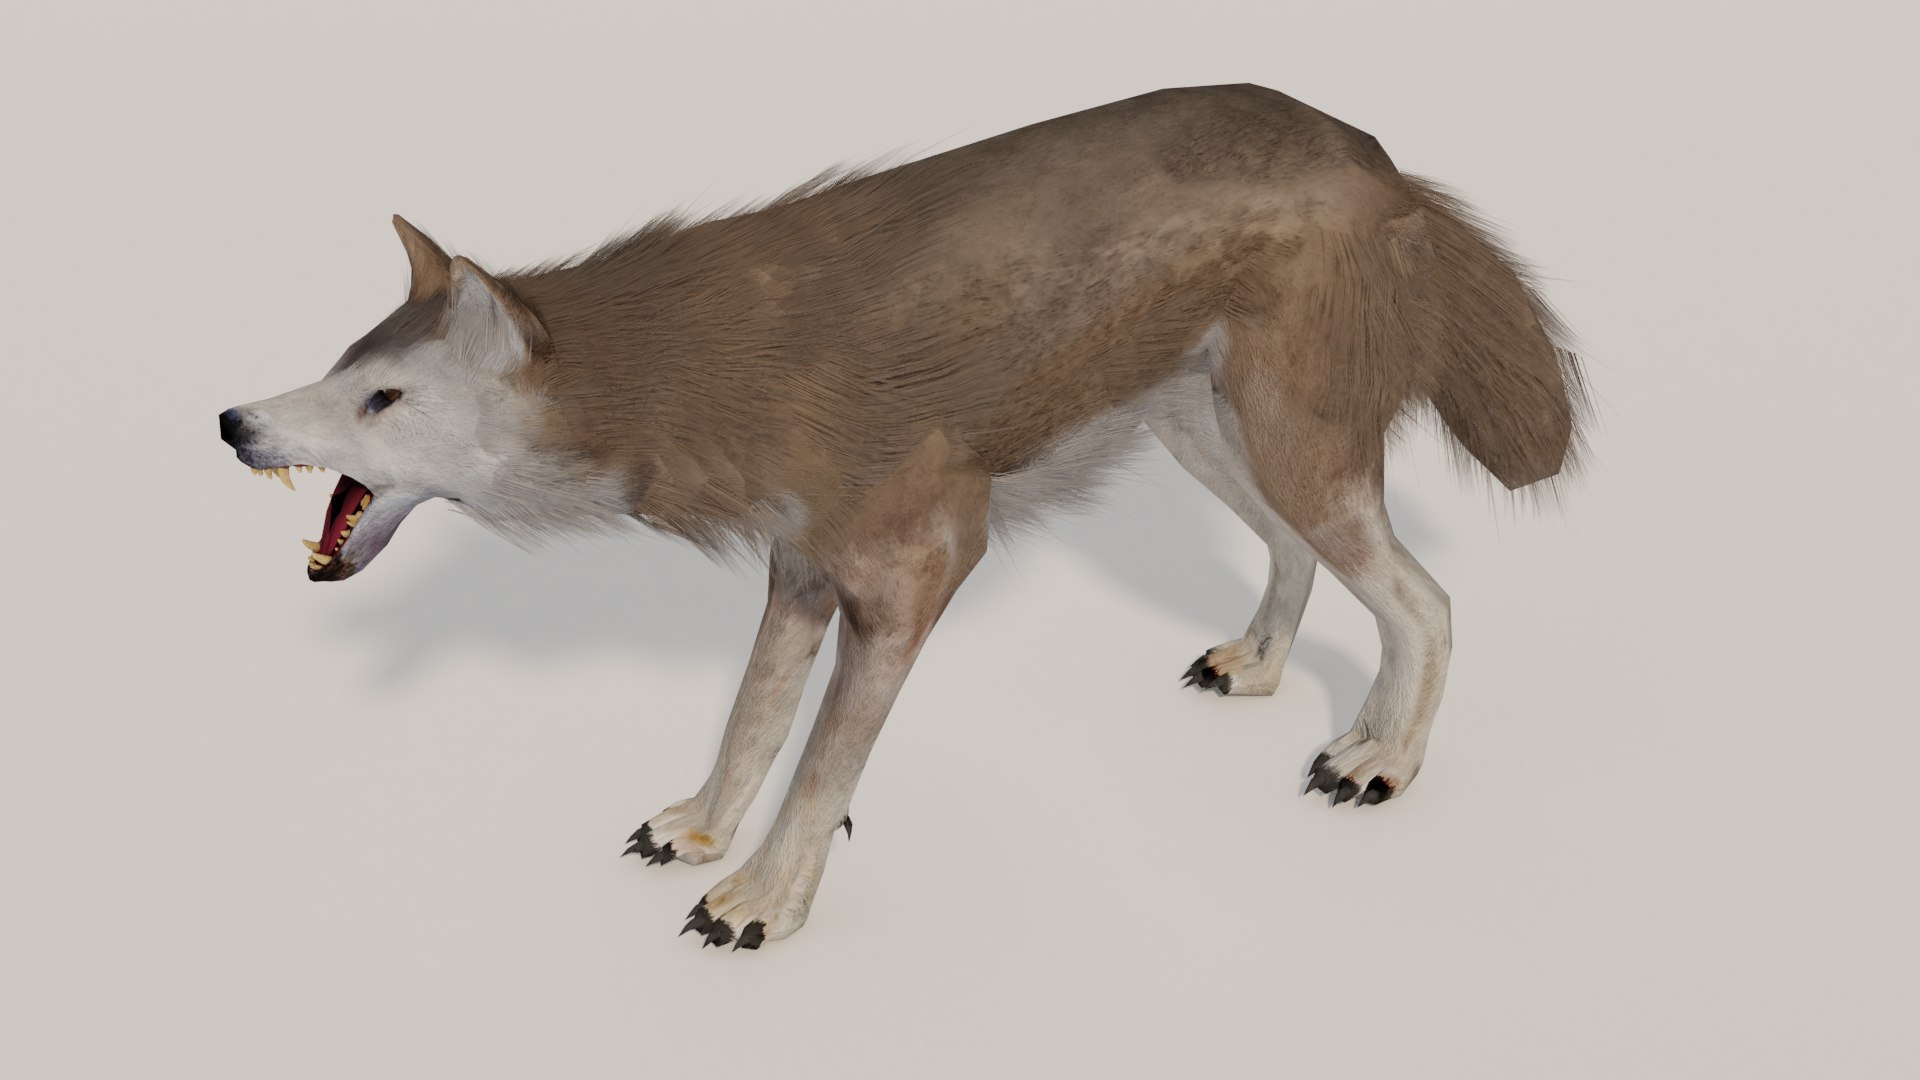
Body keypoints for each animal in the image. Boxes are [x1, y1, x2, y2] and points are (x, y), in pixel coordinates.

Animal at [218, 84, 1587, 950]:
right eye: (338, 371)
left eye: (384, 398)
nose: (234, 422)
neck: (702, 371)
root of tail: (1377, 155)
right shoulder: (800, 564)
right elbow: (754, 721)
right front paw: (702, 831)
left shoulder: (918, 562)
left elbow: (825, 761)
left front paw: (761, 903)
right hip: (1210, 433)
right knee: (1300, 553)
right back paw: (1252, 666)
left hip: (1283, 440)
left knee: (1426, 600)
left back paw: (1378, 760)